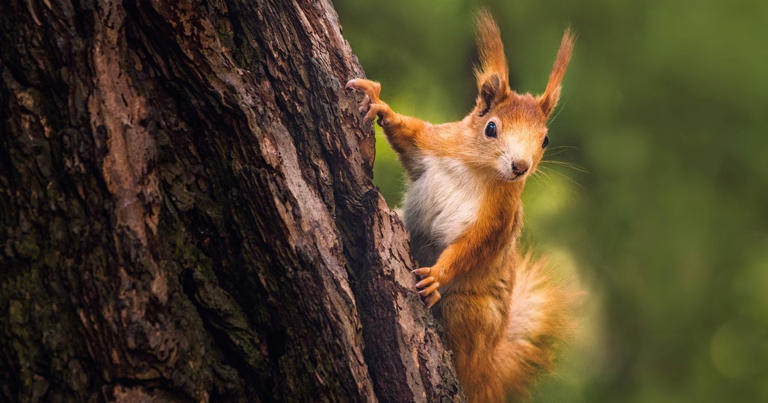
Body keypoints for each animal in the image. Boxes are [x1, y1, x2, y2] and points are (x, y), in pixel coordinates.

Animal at [347, 10, 575, 402]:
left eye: (545, 139)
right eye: (491, 128)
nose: (520, 167)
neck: (478, 169)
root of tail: (487, 366)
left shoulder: (498, 218)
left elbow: (472, 247)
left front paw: (438, 275)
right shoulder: (434, 142)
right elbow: (408, 134)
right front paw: (380, 105)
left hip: (470, 312)